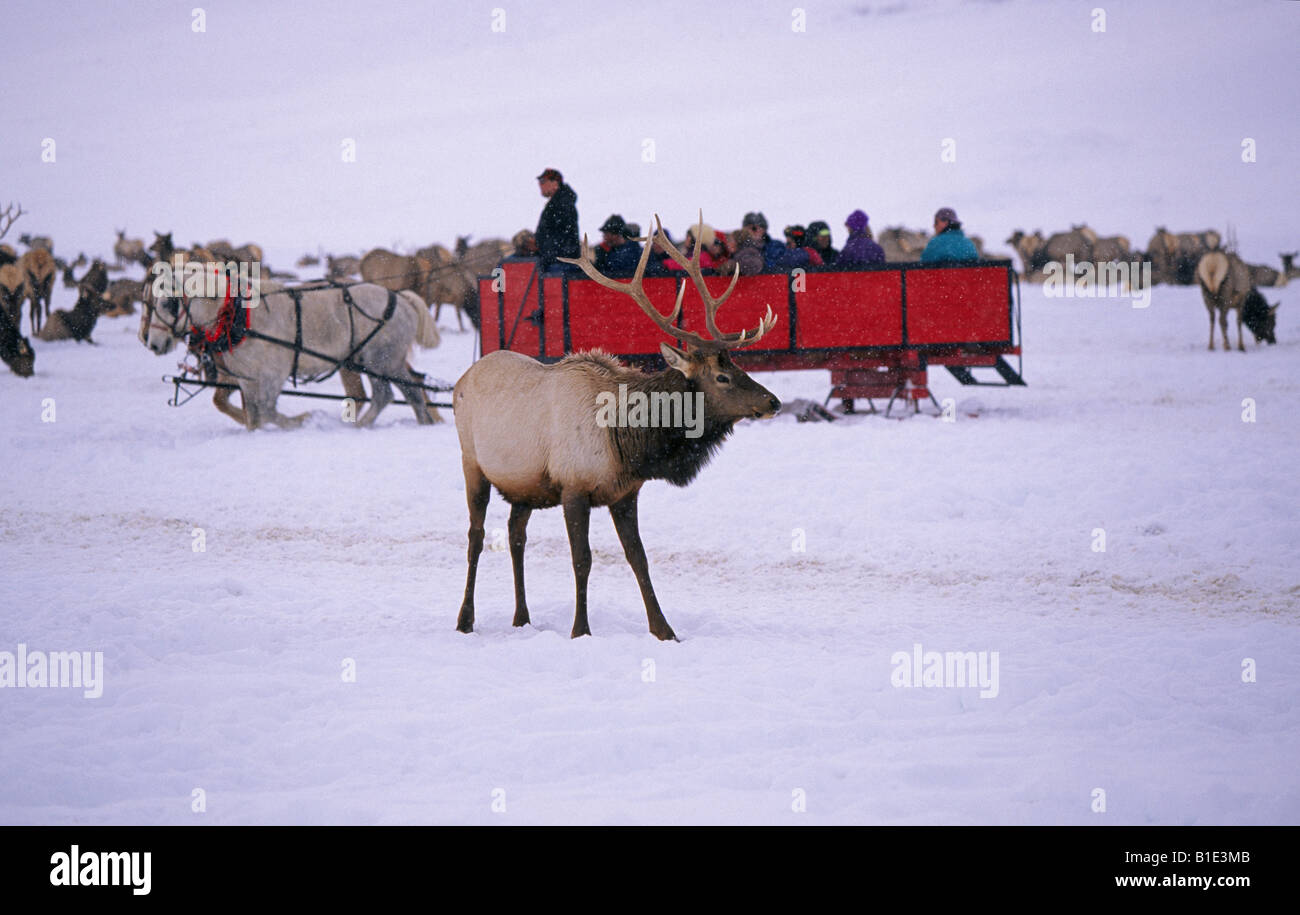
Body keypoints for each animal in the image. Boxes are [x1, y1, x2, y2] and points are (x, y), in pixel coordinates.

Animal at [452, 212, 780, 641]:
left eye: (738, 366)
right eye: (721, 377)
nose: (772, 401)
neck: (627, 443)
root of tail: (460, 380)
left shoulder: (625, 493)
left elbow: (638, 557)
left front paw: (665, 630)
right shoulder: (574, 487)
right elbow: (582, 559)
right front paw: (580, 630)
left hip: (523, 484)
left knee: (515, 535)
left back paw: (521, 617)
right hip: (472, 464)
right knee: (476, 537)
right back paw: (465, 619)